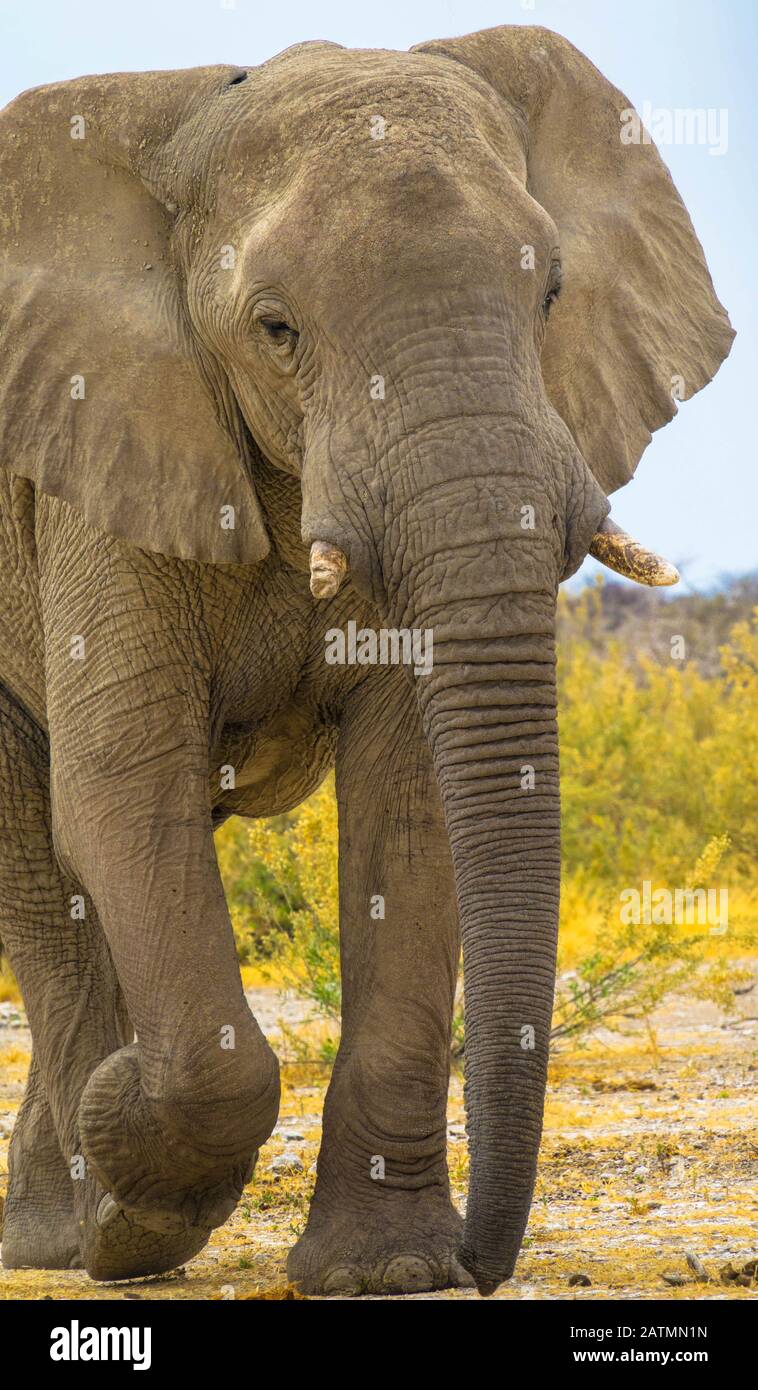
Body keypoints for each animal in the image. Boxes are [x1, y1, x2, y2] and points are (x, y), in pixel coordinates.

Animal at [0, 25, 732, 1296]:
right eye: (274, 327)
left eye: (549, 292)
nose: (486, 1260)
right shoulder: (98, 445)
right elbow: (125, 793)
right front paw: (136, 1215)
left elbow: (410, 805)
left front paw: (386, 1269)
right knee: (40, 859)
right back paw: (69, 1226)